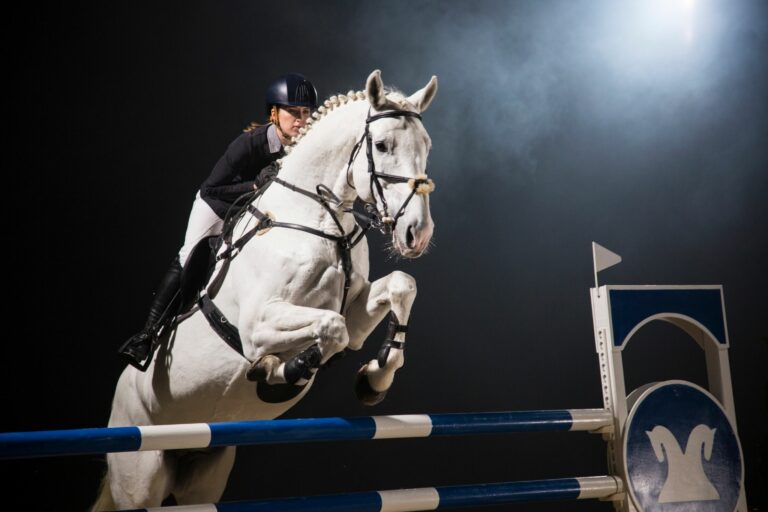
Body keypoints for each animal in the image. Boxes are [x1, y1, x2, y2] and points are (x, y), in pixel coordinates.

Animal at [93, 70, 438, 510]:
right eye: (381, 146)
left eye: (426, 147)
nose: (417, 233)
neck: (319, 218)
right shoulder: (257, 326)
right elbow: (331, 327)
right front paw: (283, 370)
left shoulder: (357, 312)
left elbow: (399, 287)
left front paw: (375, 378)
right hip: (140, 472)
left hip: (203, 471)